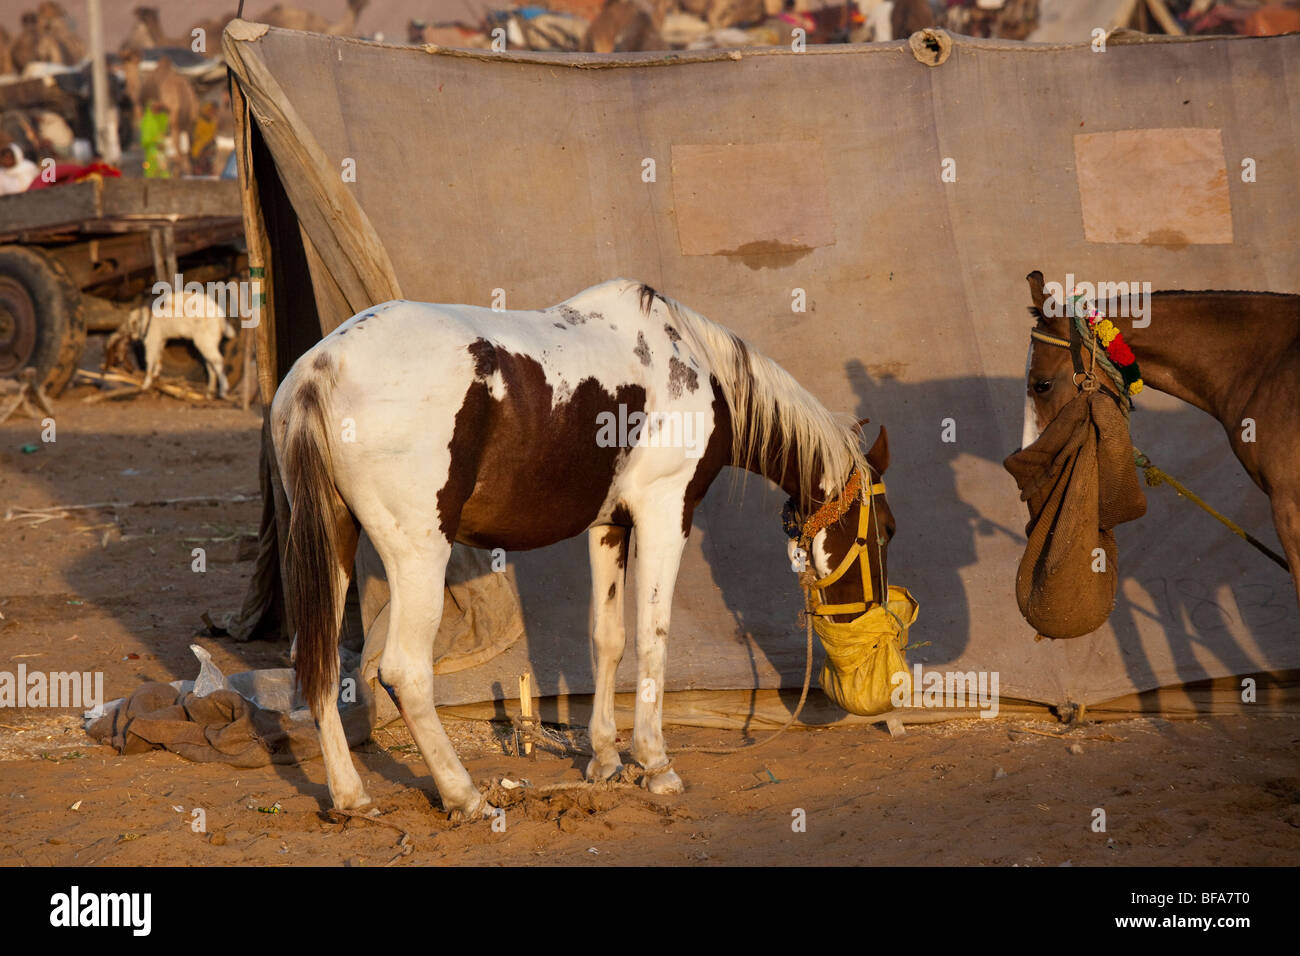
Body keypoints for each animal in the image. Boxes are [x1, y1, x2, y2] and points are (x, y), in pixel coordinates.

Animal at [272, 278, 894, 817]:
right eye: (885, 529)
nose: (869, 618)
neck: (690, 361)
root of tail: (322, 369)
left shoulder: (609, 526)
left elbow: (607, 638)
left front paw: (604, 760)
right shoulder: (666, 511)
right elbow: (653, 636)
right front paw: (655, 764)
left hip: (334, 544)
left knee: (319, 663)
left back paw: (352, 798)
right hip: (419, 554)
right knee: (404, 671)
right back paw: (465, 797)